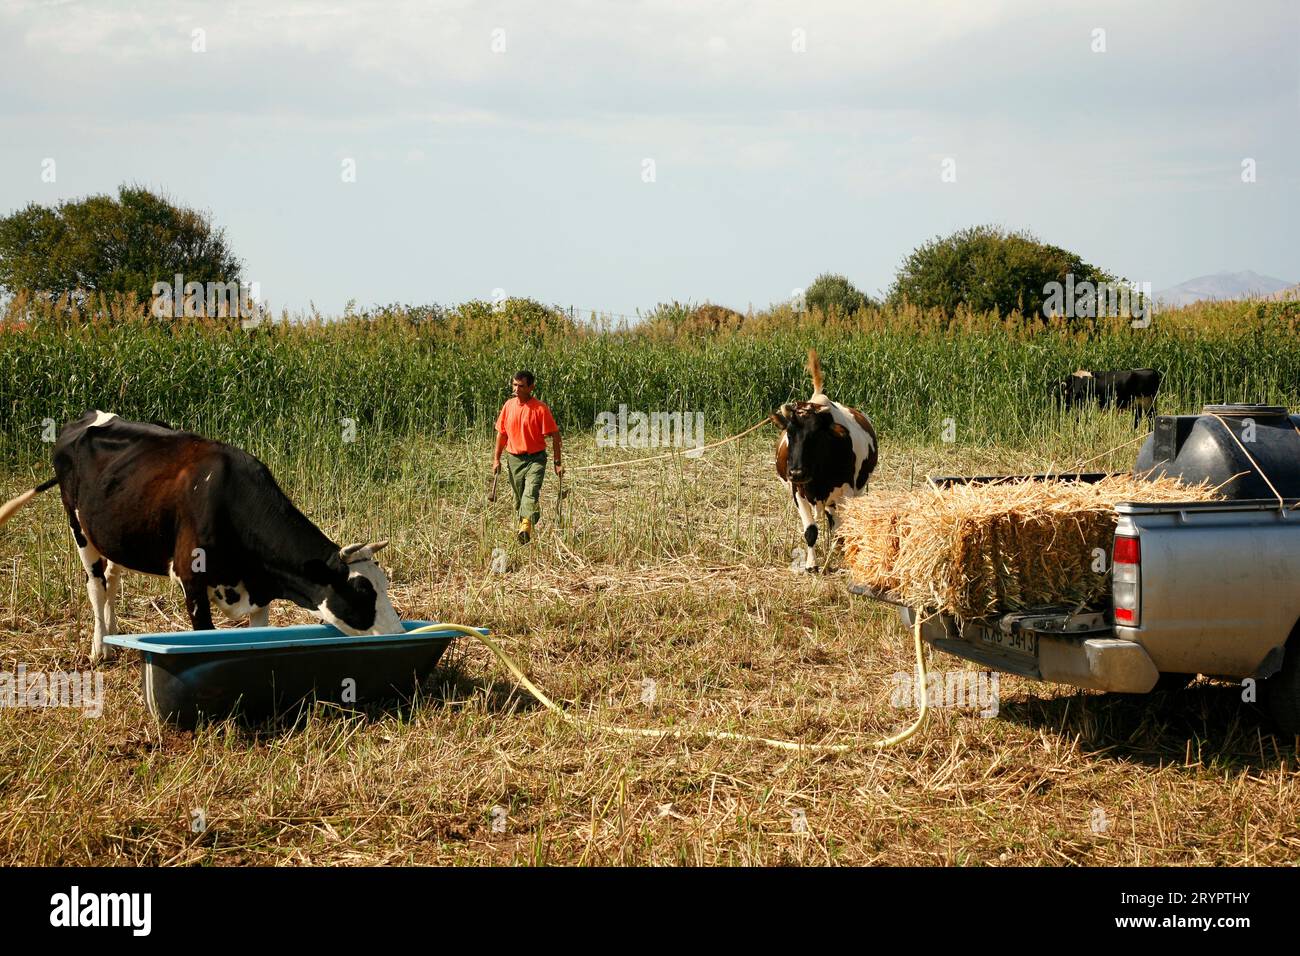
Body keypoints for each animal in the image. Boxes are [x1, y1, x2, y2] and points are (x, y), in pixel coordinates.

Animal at [0, 412, 403, 662]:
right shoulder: (190, 576)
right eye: (362, 592)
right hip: (79, 528)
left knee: (112, 579)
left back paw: (114, 632)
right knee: (96, 585)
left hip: (115, 532)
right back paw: (101, 648)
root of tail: (84, 419)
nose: (398, 634)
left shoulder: (259, 589)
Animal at [771, 350, 878, 572]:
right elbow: (811, 531)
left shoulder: (846, 493)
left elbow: (842, 527)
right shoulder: (798, 492)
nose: (796, 472)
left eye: (815, 436)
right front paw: (812, 565)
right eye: (789, 434)